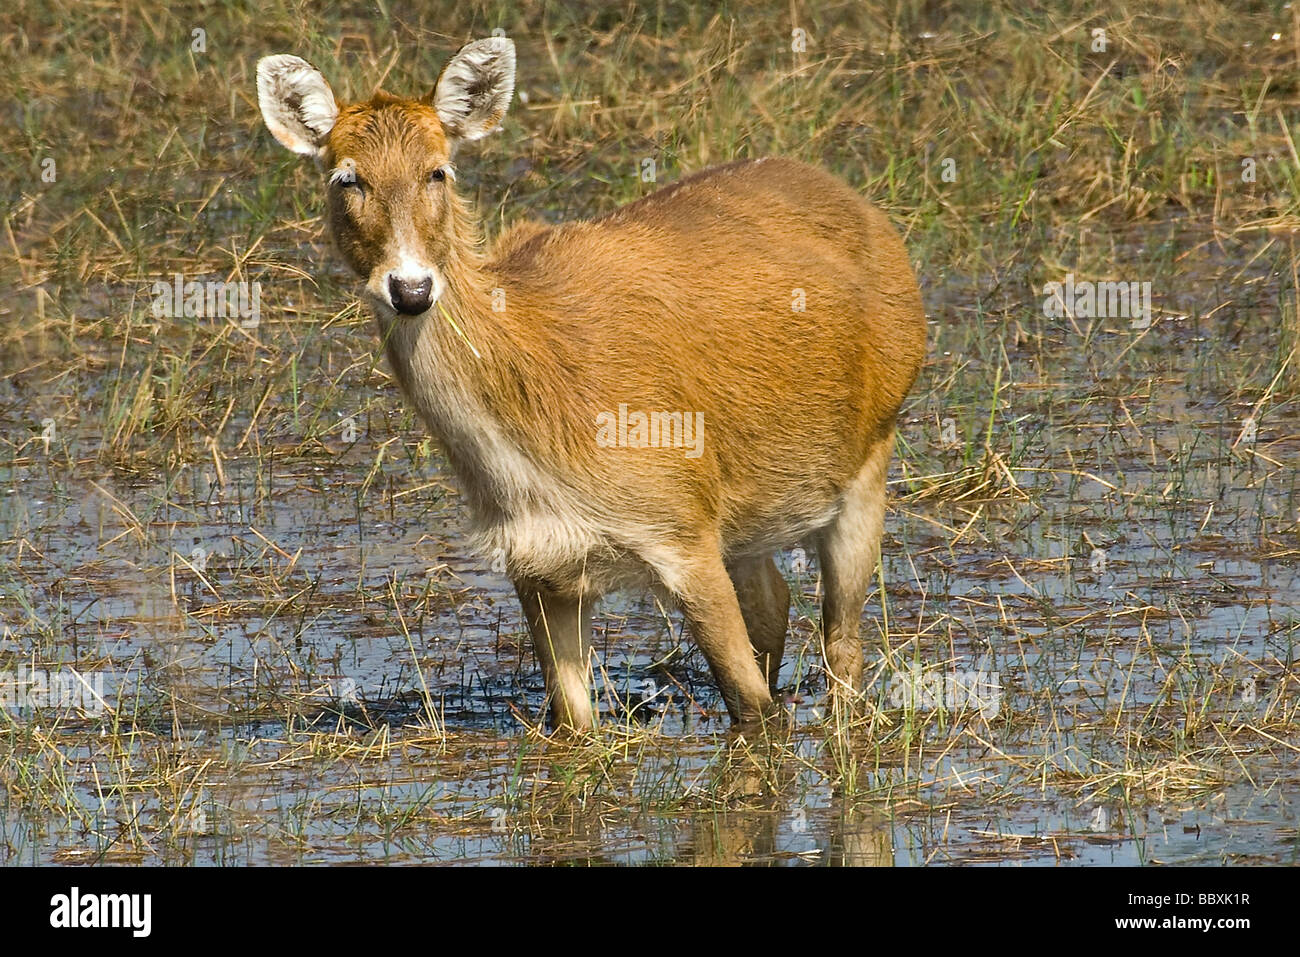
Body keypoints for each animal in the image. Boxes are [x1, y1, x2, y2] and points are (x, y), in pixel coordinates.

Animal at [255, 37, 927, 735]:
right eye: (346, 177)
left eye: (439, 171)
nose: (411, 288)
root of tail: (869, 213)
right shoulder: (537, 561)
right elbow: (574, 723)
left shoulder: (681, 525)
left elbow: (755, 714)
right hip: (750, 513)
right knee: (775, 600)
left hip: (873, 448)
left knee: (842, 643)